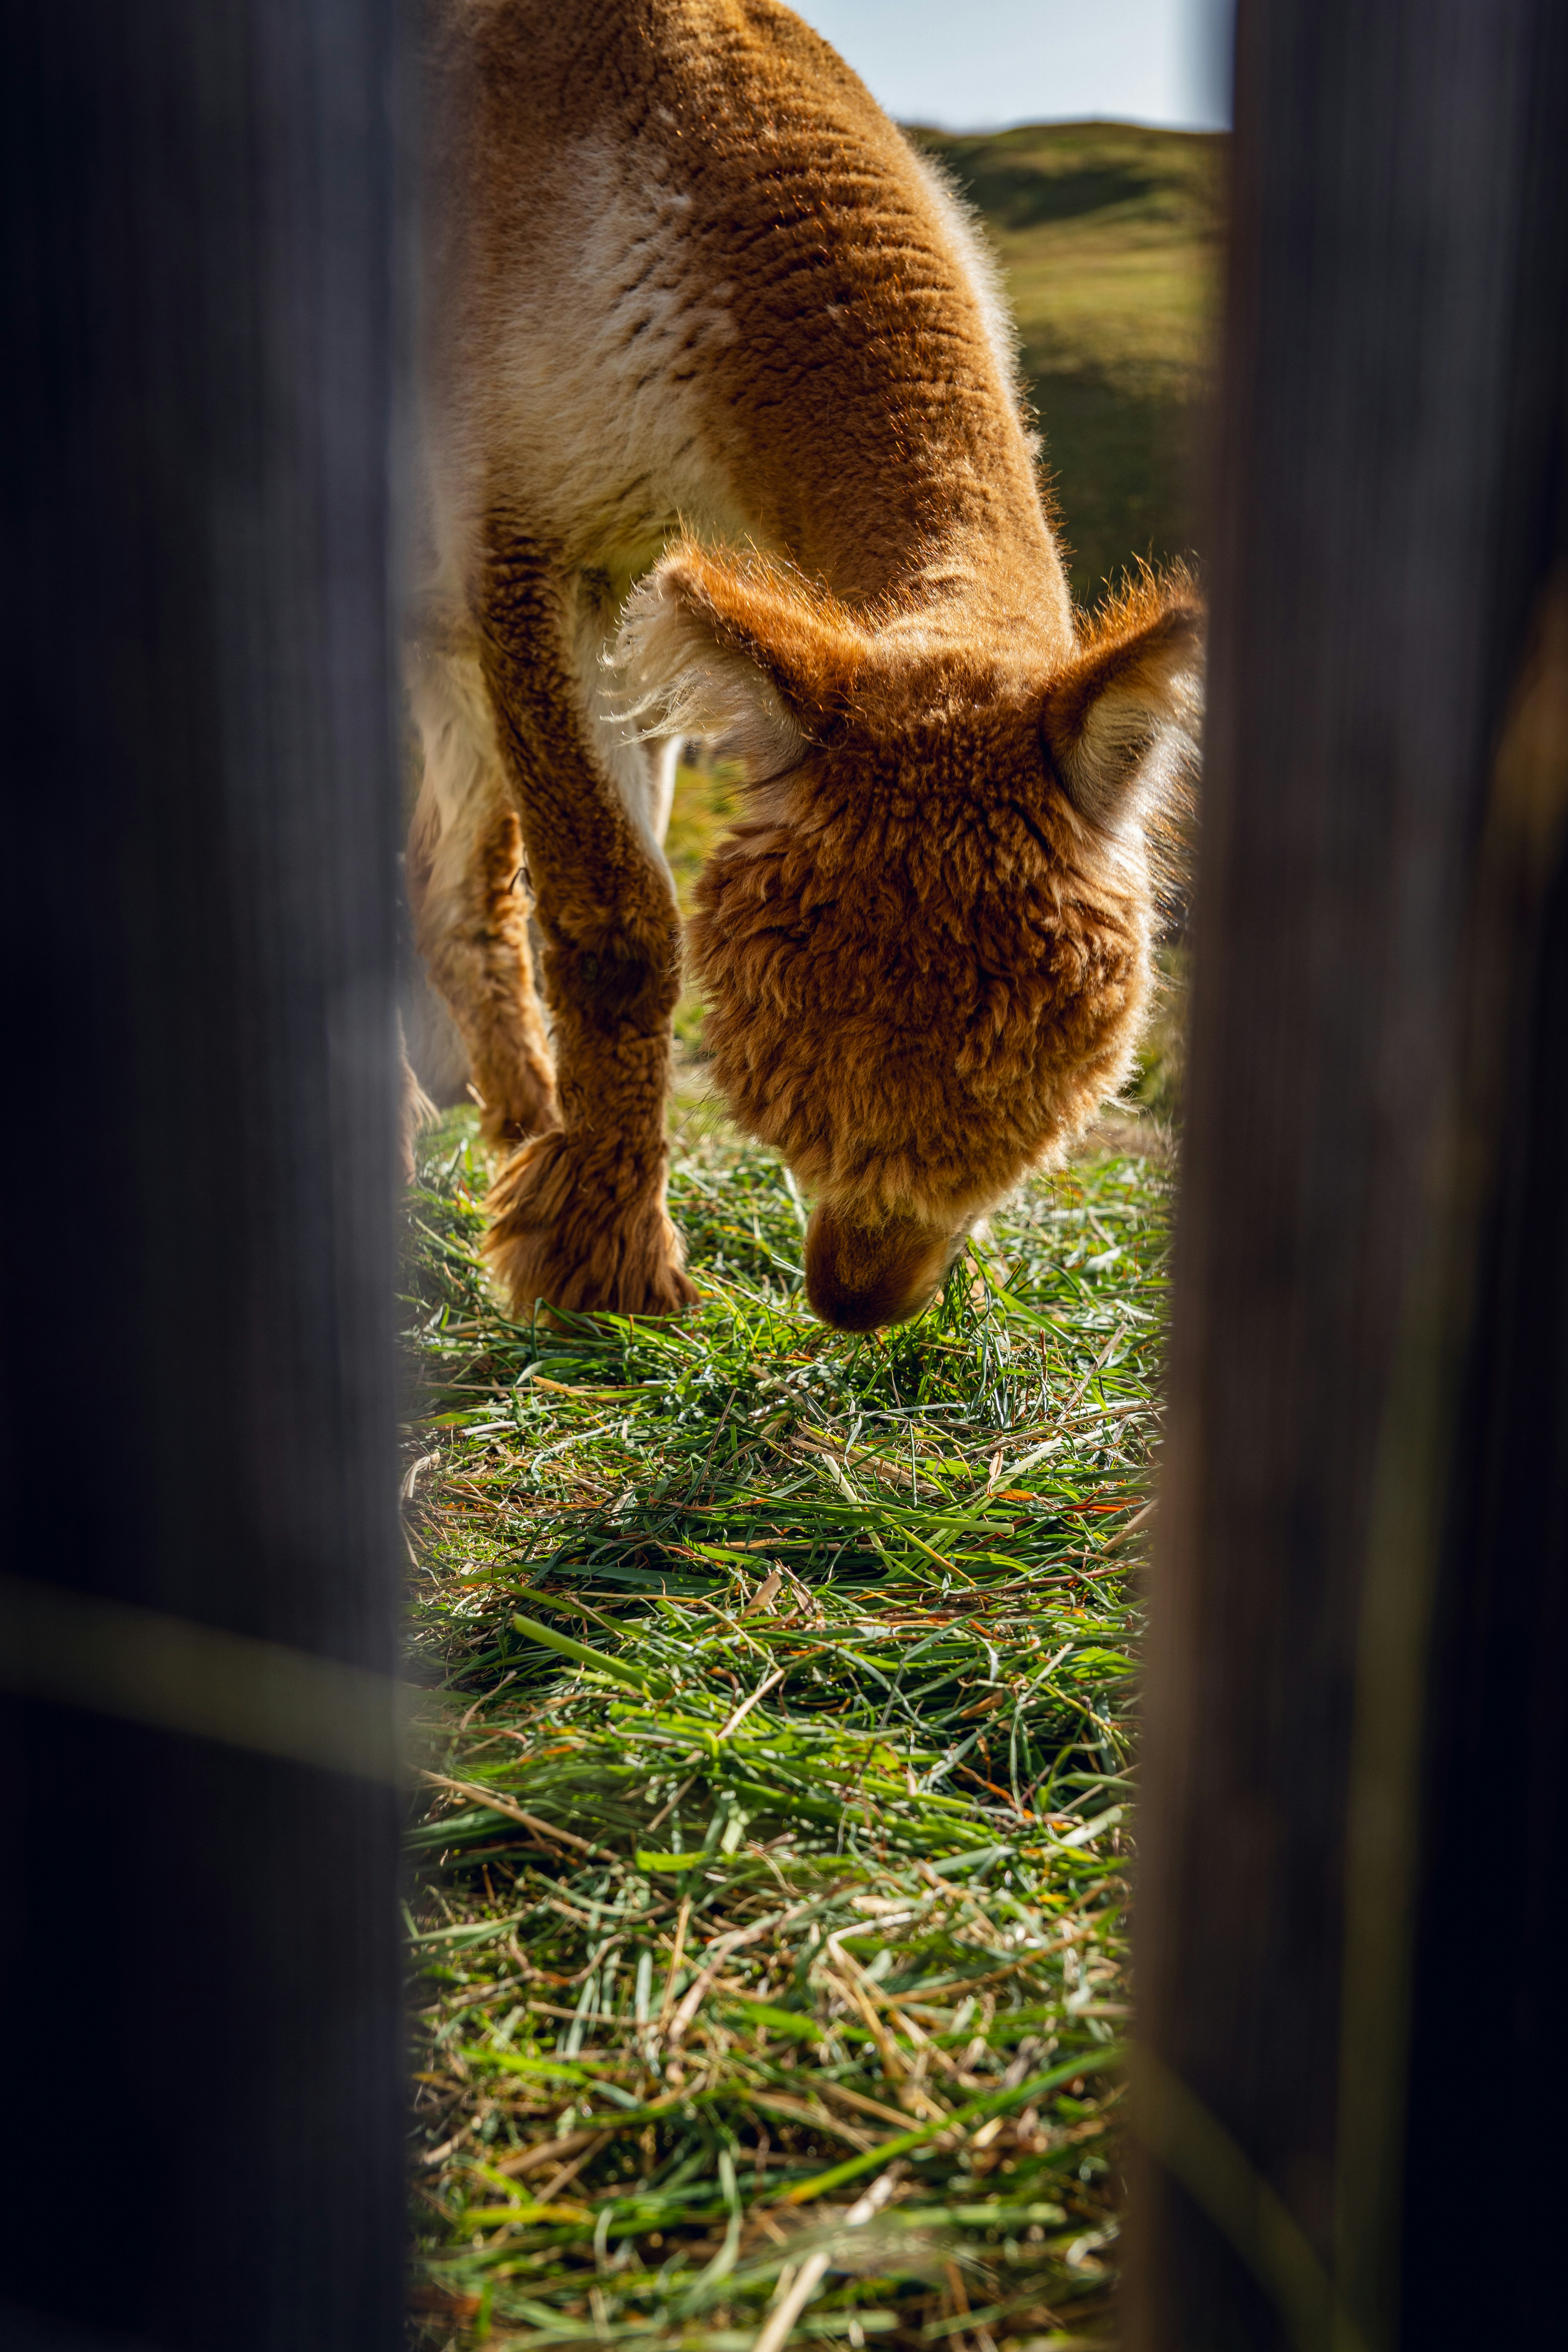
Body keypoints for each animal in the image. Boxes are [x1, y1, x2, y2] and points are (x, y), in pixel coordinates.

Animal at [406, 0, 1201, 1330]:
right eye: (786, 1041)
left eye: (1047, 1062)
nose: (860, 1293)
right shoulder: (528, 536)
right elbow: (618, 923)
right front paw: (603, 1271)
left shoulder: (641, 586)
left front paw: (560, 1206)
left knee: (450, 877)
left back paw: (498, 1128)